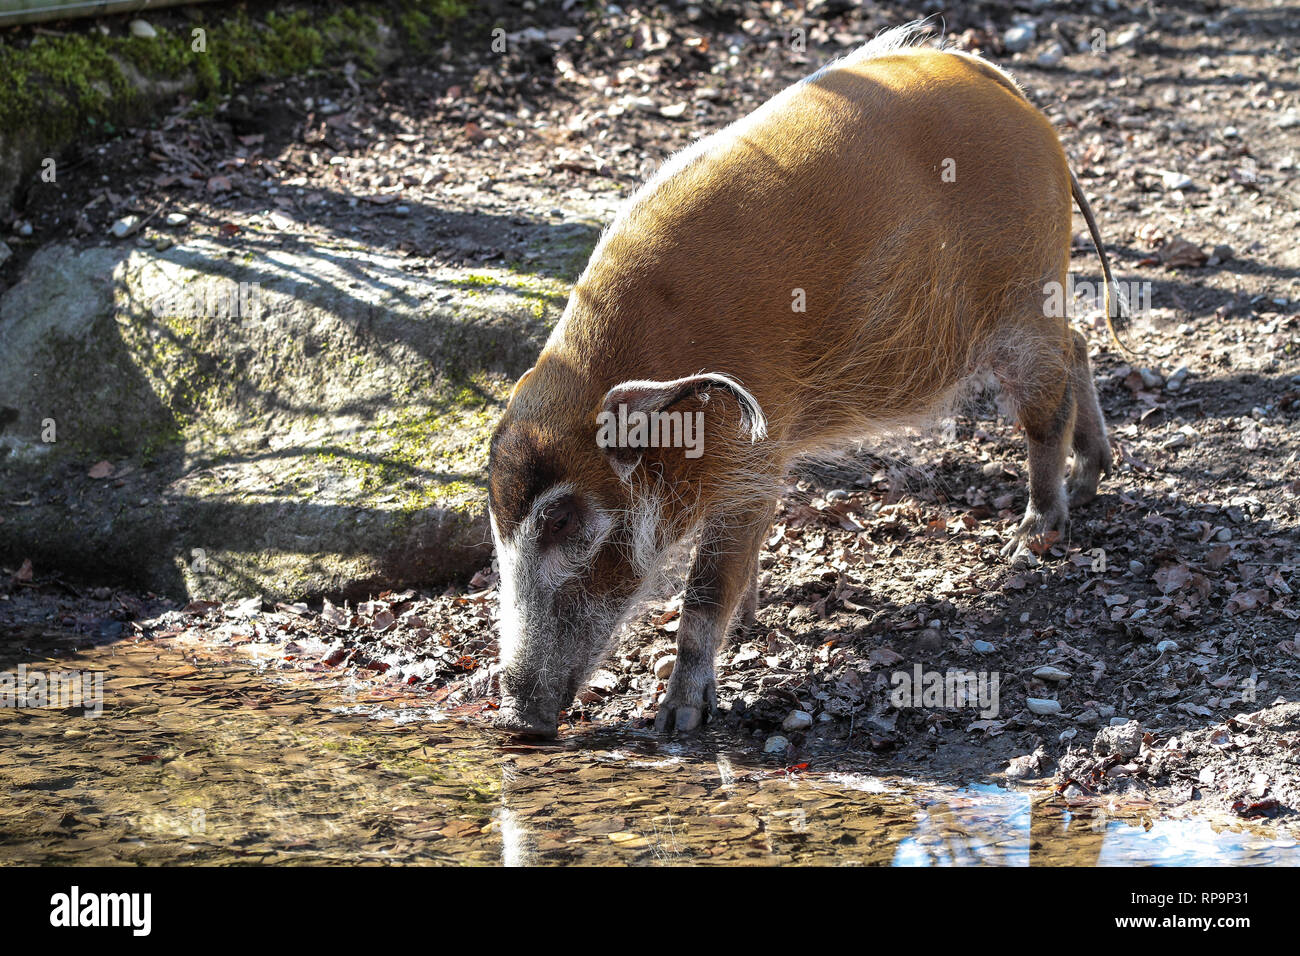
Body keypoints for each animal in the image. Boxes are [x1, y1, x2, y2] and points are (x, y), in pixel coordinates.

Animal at [487, 24, 1127, 737]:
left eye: (563, 520)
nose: (515, 718)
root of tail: (1010, 91)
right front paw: (746, 625)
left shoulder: (749, 463)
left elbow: (706, 590)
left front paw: (678, 719)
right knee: (1080, 348)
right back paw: (1090, 477)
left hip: (1025, 300)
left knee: (1049, 405)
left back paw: (1033, 536)